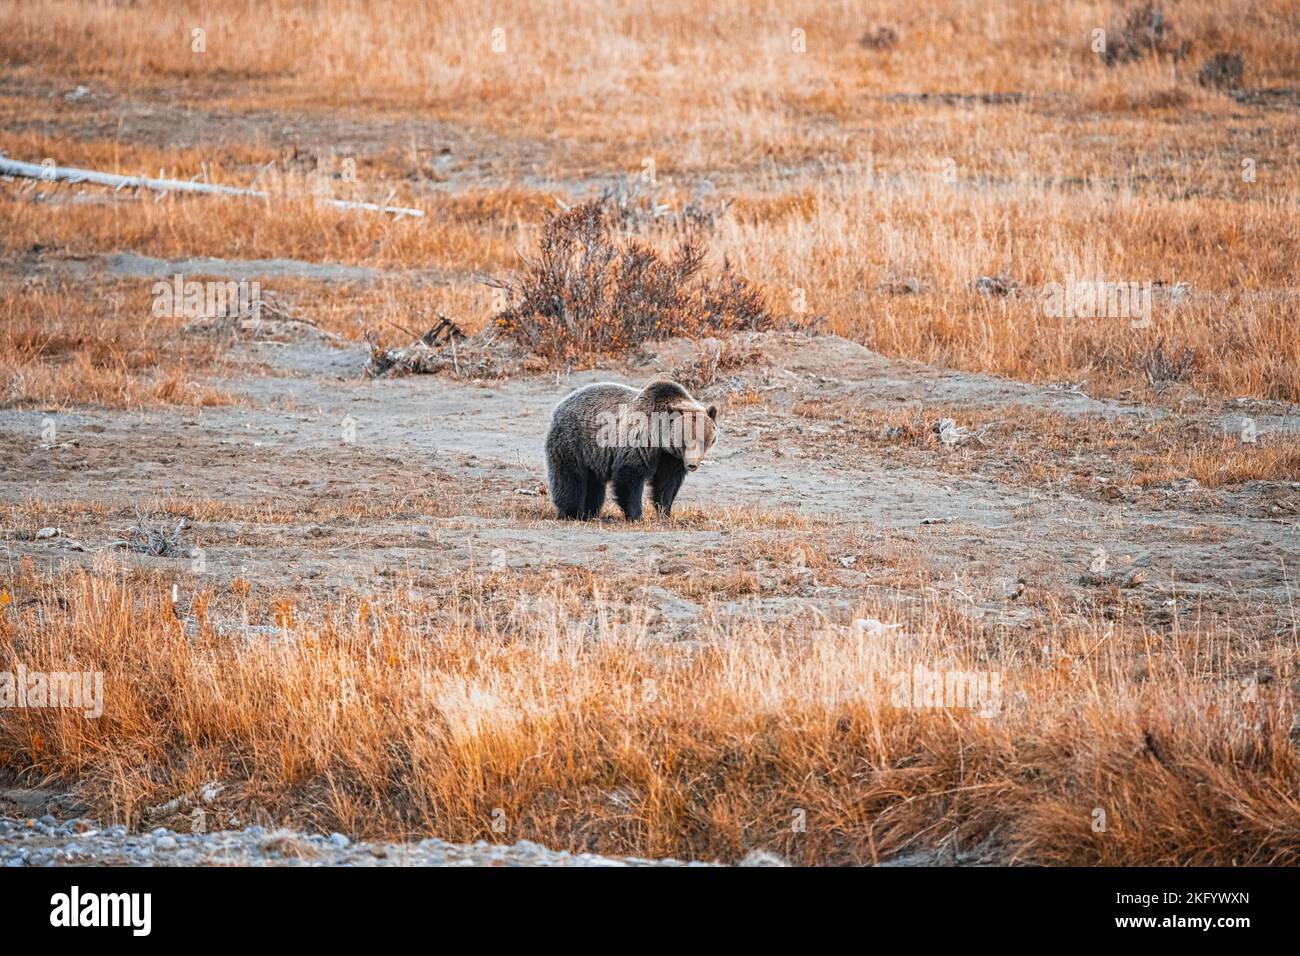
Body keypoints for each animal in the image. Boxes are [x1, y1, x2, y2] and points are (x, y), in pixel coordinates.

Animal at [545, 379, 718, 521]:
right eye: (684, 441)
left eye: (705, 441)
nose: (692, 465)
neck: (660, 441)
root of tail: (562, 404)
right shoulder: (639, 444)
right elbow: (630, 478)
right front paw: (636, 515)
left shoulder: (670, 458)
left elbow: (667, 484)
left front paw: (665, 513)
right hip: (572, 442)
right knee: (570, 478)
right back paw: (571, 513)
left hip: (593, 455)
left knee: (594, 483)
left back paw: (590, 513)